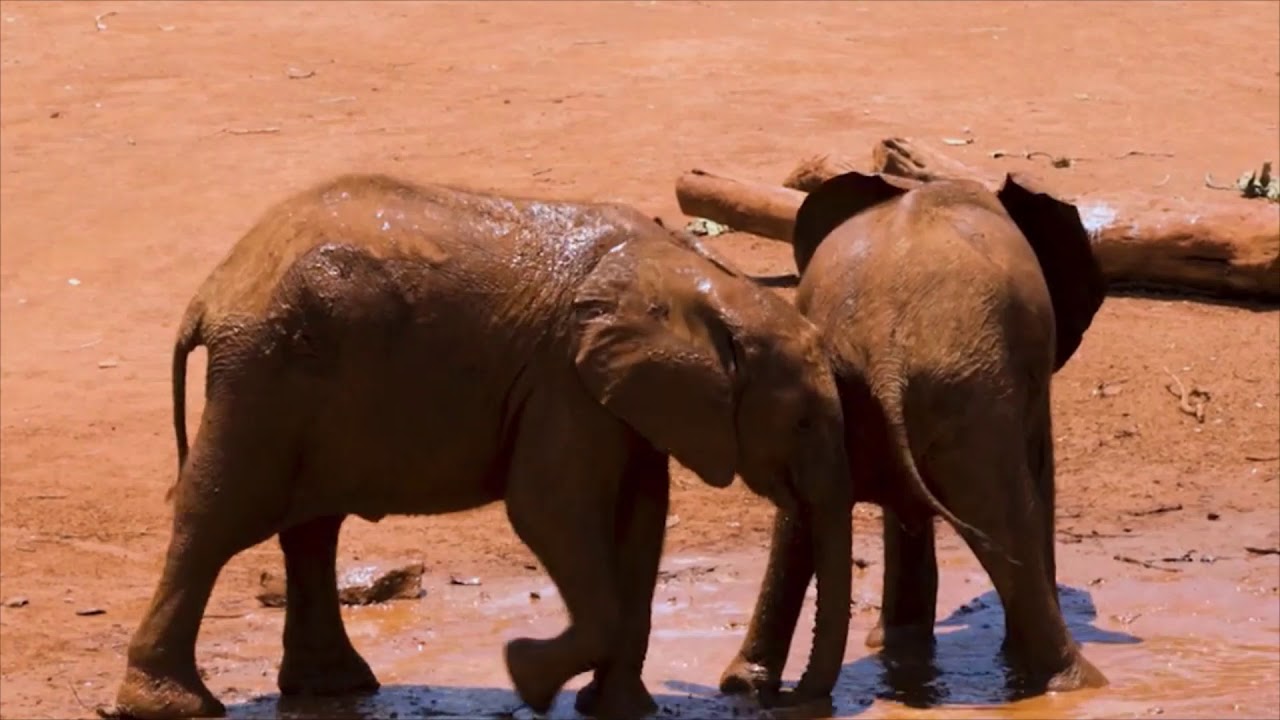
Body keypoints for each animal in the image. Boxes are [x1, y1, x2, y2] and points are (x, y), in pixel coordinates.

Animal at [106, 173, 855, 720]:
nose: (782, 697)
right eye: (803, 423)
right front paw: (525, 675)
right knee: (222, 516)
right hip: (264, 371)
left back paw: (336, 689)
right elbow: (548, 511)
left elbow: (640, 520)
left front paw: (617, 710)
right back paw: (174, 707)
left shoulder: (619, 393)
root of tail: (212, 291)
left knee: (309, 527)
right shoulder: (564, 379)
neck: (705, 279)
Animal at [719, 170, 1109, 699]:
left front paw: (900, 648)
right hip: (968, 394)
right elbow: (1039, 475)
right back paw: (1080, 685)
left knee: (798, 520)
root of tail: (882, 343)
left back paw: (745, 686)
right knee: (1008, 513)